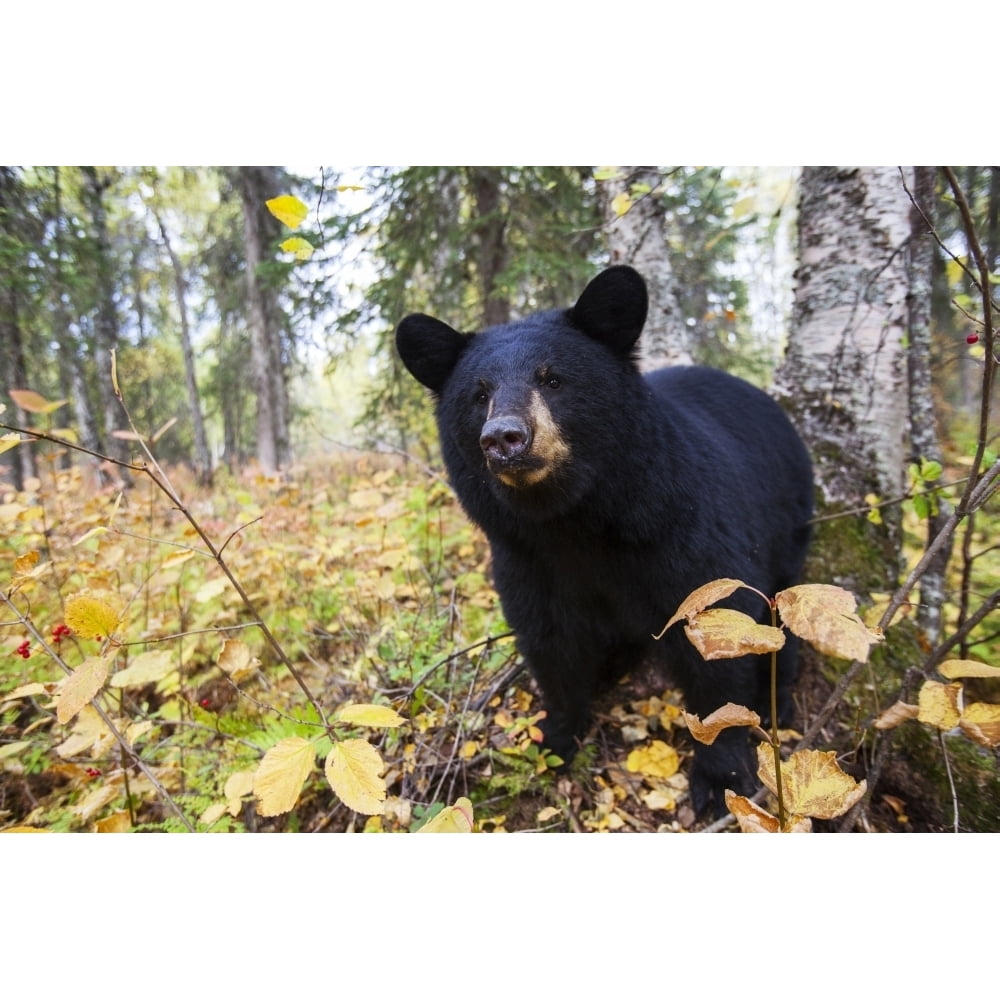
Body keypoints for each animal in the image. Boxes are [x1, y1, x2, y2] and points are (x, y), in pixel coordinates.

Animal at [395, 265, 813, 818]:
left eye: (552, 379)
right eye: (479, 394)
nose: (504, 437)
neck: (575, 520)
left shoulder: (685, 532)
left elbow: (720, 635)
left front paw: (719, 777)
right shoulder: (526, 561)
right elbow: (550, 643)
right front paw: (555, 737)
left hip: (789, 520)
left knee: (782, 609)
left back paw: (778, 698)